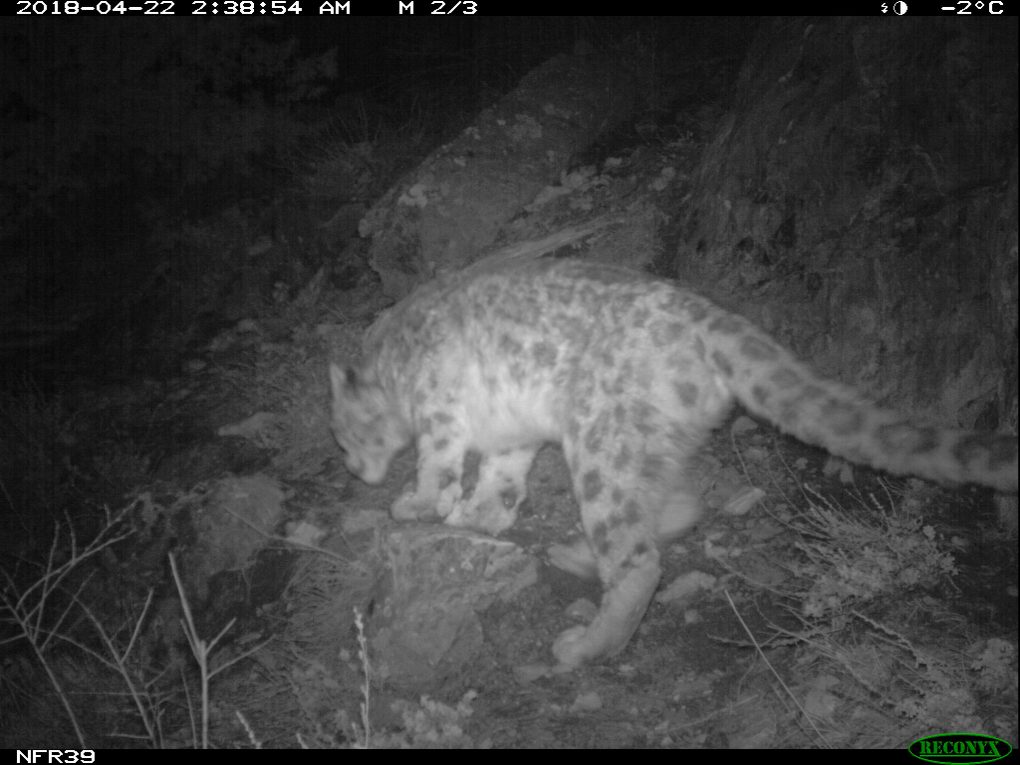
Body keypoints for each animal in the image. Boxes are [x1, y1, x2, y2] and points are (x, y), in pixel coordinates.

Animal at [329, 257, 1017, 669]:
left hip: (599, 443)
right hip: (648, 437)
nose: (354, 472)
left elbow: (439, 463)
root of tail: (709, 317)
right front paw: (478, 518)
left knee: (637, 555)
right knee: (674, 505)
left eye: (341, 435)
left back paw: (588, 643)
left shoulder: (441, 414)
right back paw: (581, 555)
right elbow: (499, 482)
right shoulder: (508, 436)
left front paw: (419, 504)